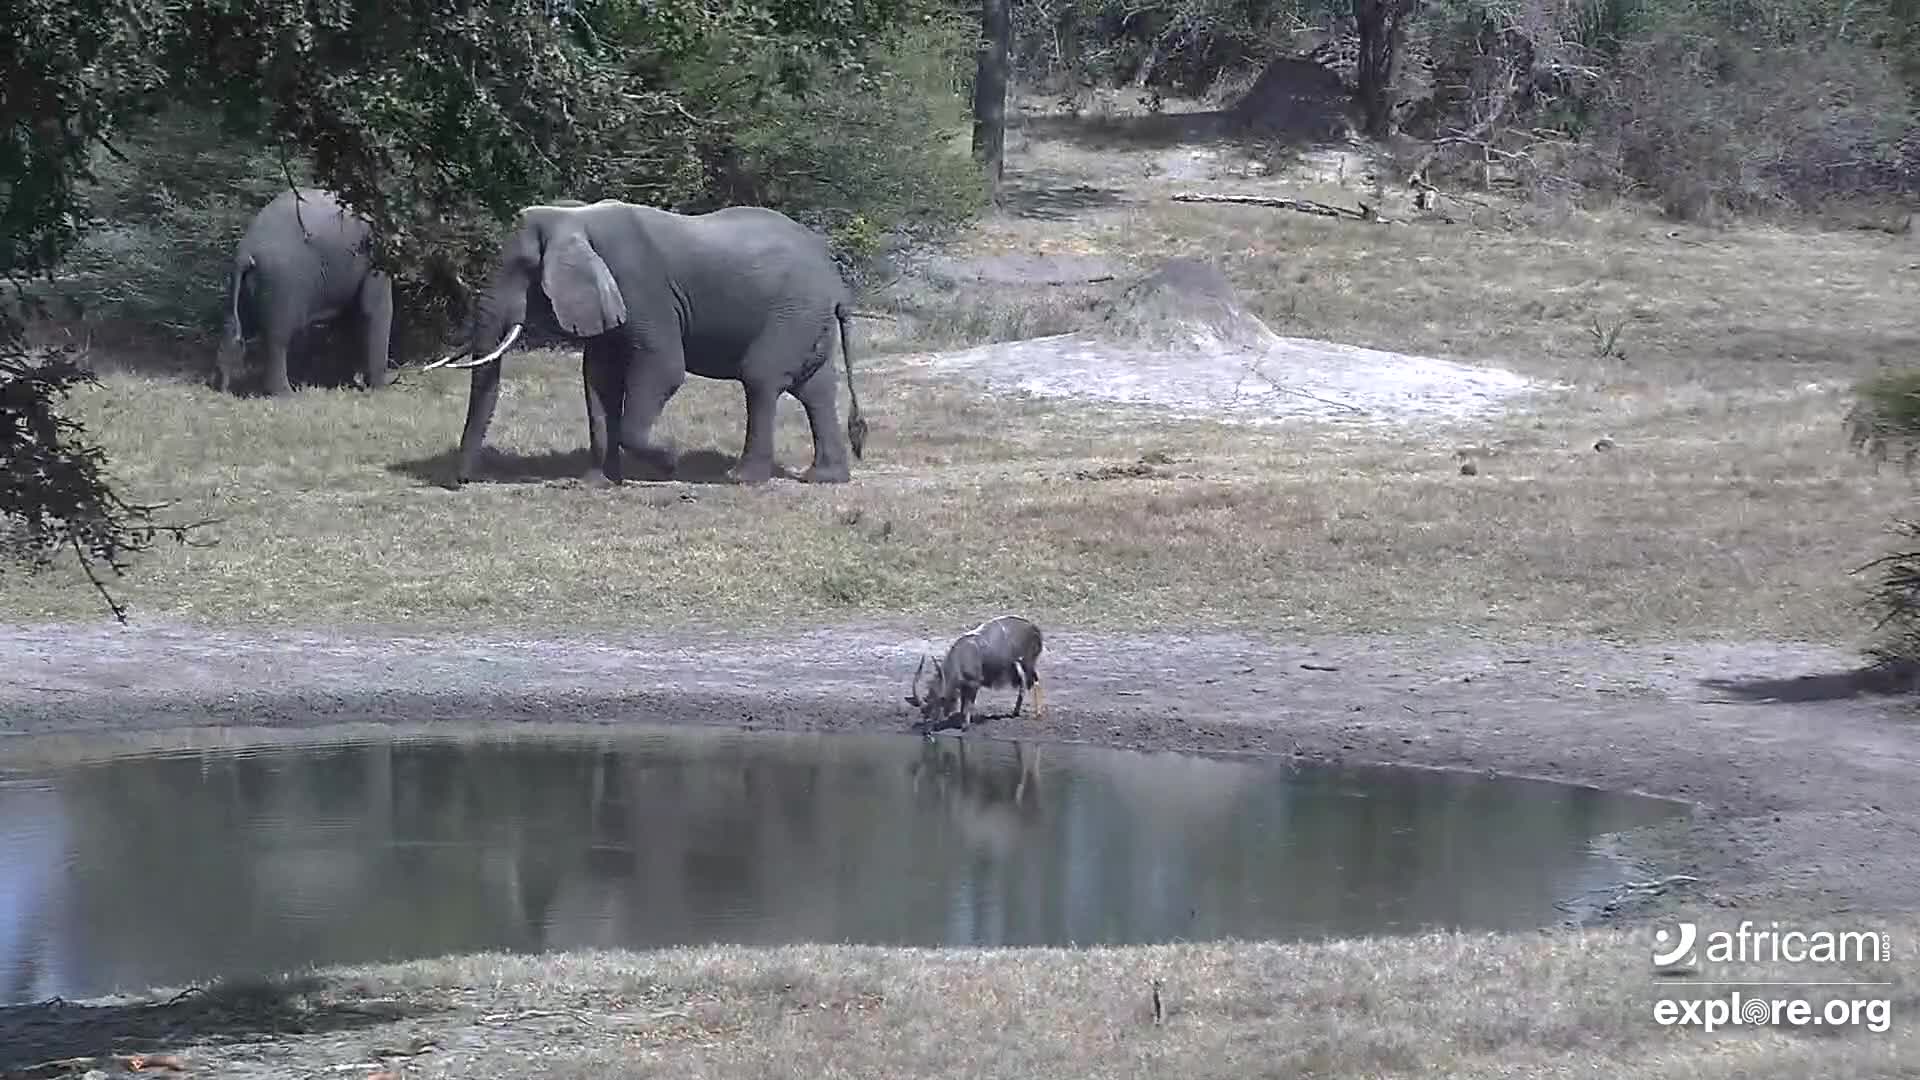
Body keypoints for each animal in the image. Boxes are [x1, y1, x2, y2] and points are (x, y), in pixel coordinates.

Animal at [212, 187, 395, 397]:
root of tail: (245, 251)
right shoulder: (376, 259)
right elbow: (372, 310)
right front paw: (377, 388)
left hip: (246, 282)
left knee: (233, 324)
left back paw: (222, 389)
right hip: (281, 282)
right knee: (277, 337)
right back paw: (286, 394)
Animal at [424, 199, 867, 487]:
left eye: (523, 268)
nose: (465, 481)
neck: (573, 217)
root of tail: (835, 279)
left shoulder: (640, 287)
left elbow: (662, 369)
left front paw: (670, 463)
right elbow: (599, 380)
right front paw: (595, 484)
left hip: (793, 311)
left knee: (761, 378)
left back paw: (740, 479)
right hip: (808, 318)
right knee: (814, 389)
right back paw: (823, 478)